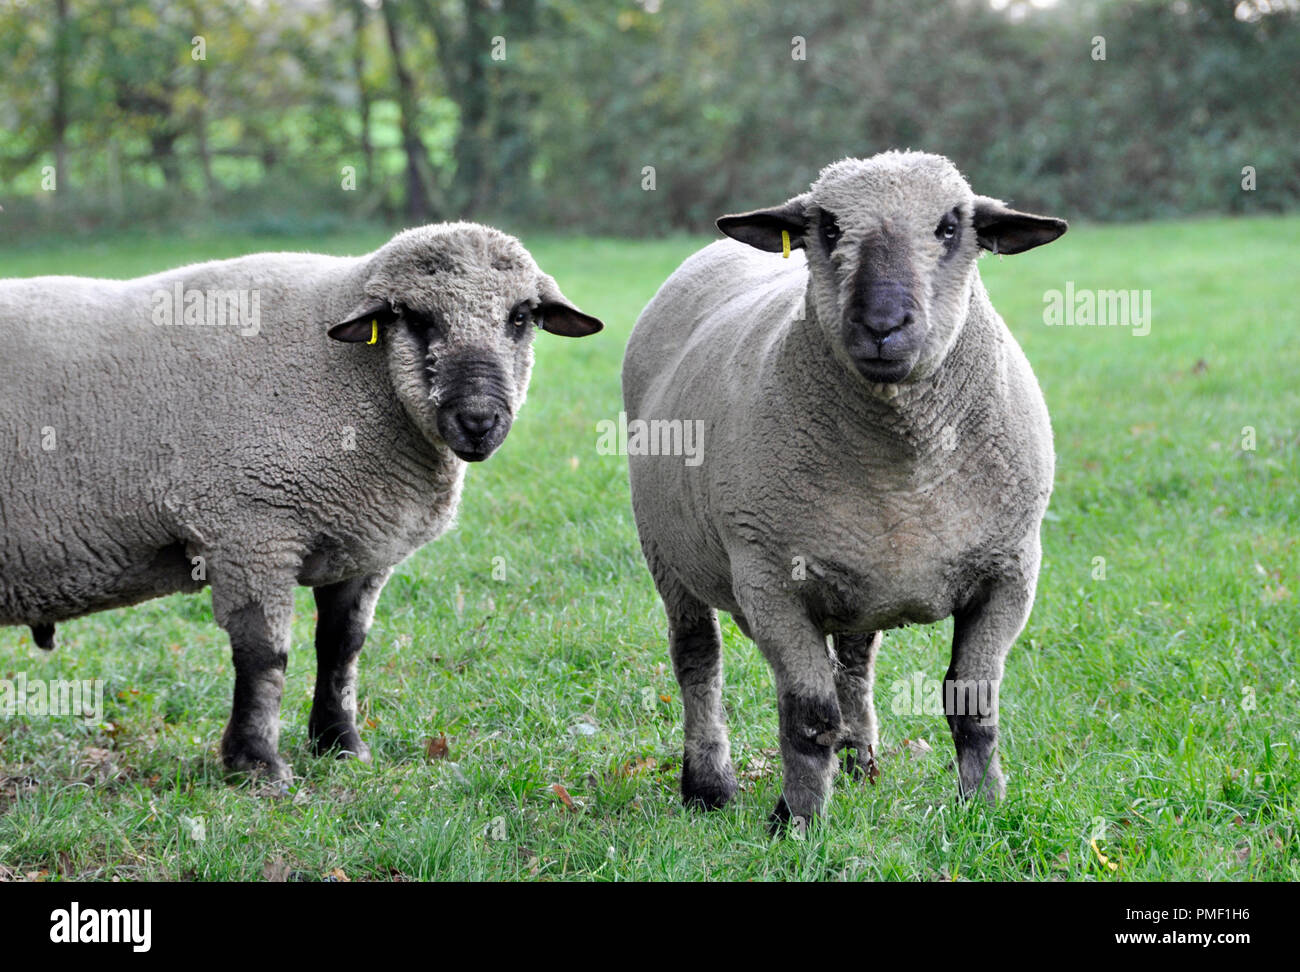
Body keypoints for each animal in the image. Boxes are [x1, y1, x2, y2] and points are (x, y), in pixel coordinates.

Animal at [0, 222, 602, 782]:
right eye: (414, 318)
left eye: (521, 317)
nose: (478, 420)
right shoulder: (251, 530)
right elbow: (265, 656)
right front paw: (257, 765)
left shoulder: (362, 542)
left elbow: (342, 647)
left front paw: (341, 746)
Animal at [622, 151, 1066, 830]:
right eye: (827, 227)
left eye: (950, 226)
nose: (882, 325)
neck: (902, 468)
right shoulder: (769, 581)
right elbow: (808, 717)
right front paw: (798, 824)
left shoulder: (1011, 571)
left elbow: (973, 703)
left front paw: (983, 810)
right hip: (667, 551)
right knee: (697, 658)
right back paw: (708, 785)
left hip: (861, 572)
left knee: (855, 660)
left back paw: (861, 762)